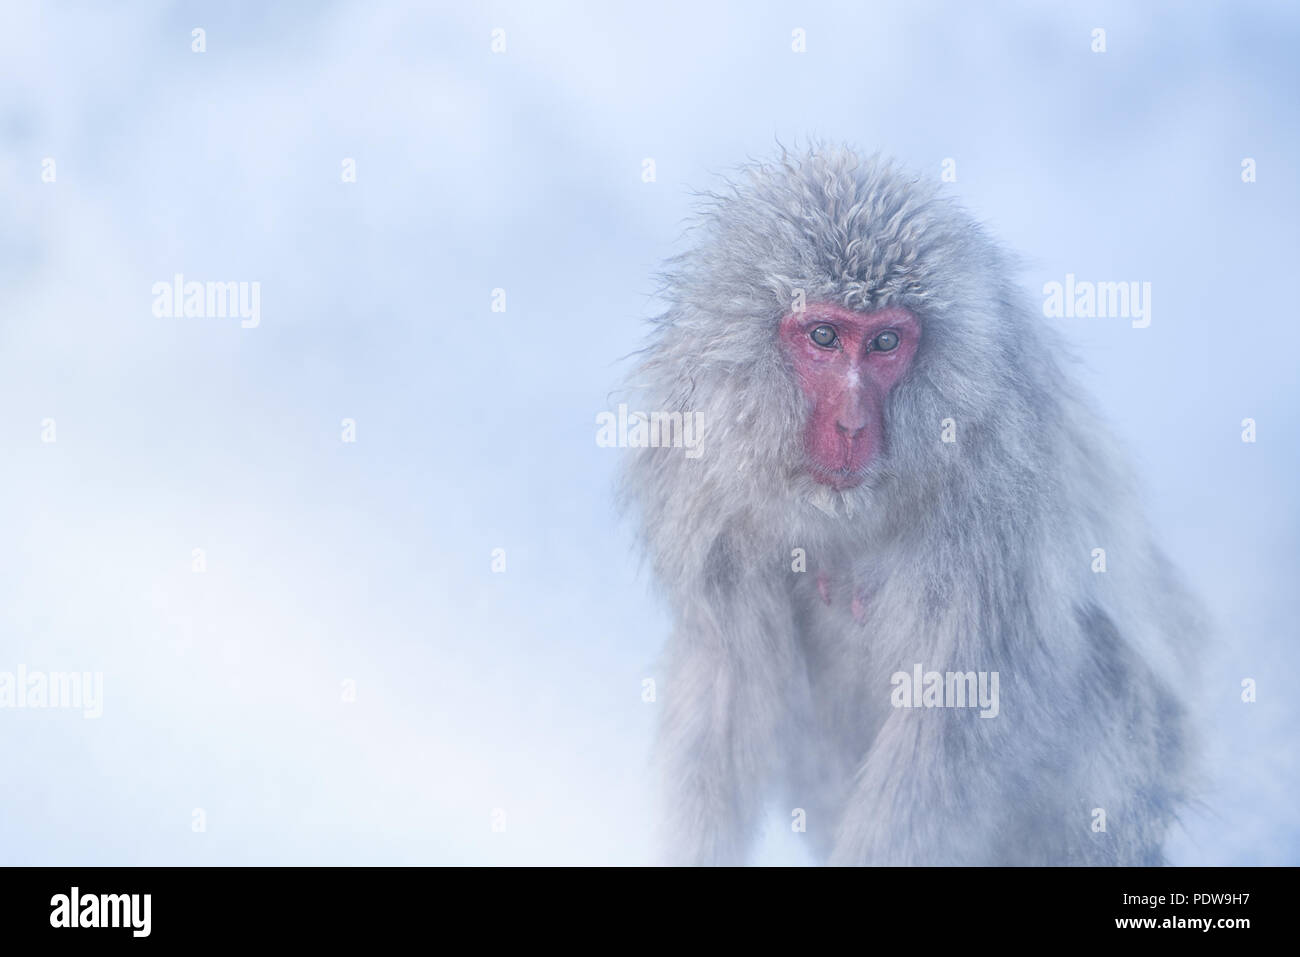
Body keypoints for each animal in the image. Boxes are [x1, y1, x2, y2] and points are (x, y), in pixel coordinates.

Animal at [622, 146, 1202, 866]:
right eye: (824, 335)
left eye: (885, 343)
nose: (850, 424)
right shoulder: (700, 484)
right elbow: (730, 680)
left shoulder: (997, 502)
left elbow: (956, 715)